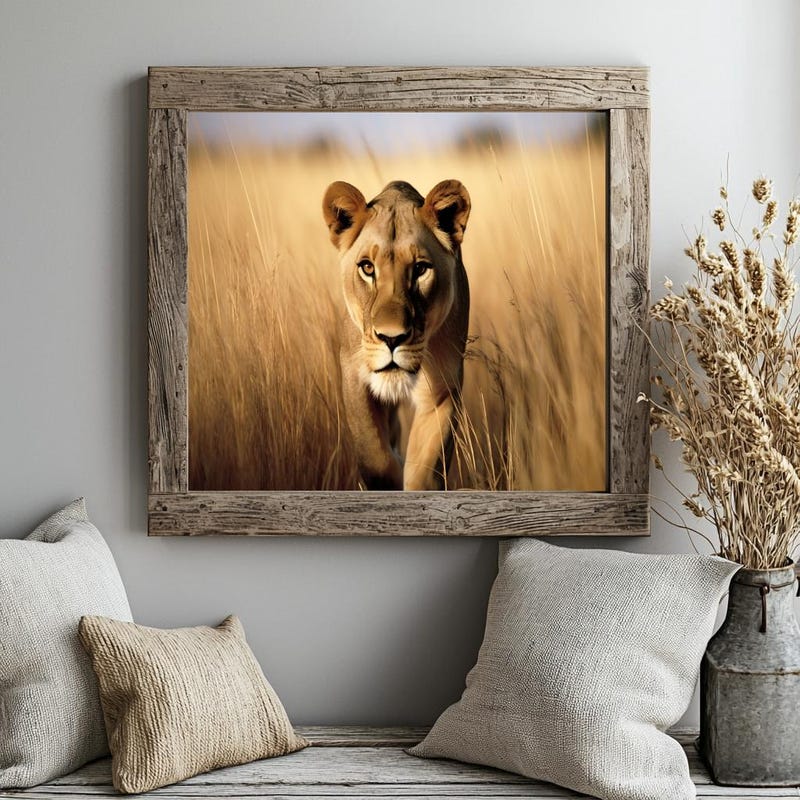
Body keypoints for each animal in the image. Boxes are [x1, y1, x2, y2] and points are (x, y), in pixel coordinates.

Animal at [322, 179, 471, 491]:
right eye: (367, 267)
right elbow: (375, 457)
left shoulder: (442, 389)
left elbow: (423, 472)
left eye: (420, 269)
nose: (391, 339)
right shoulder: (353, 376)